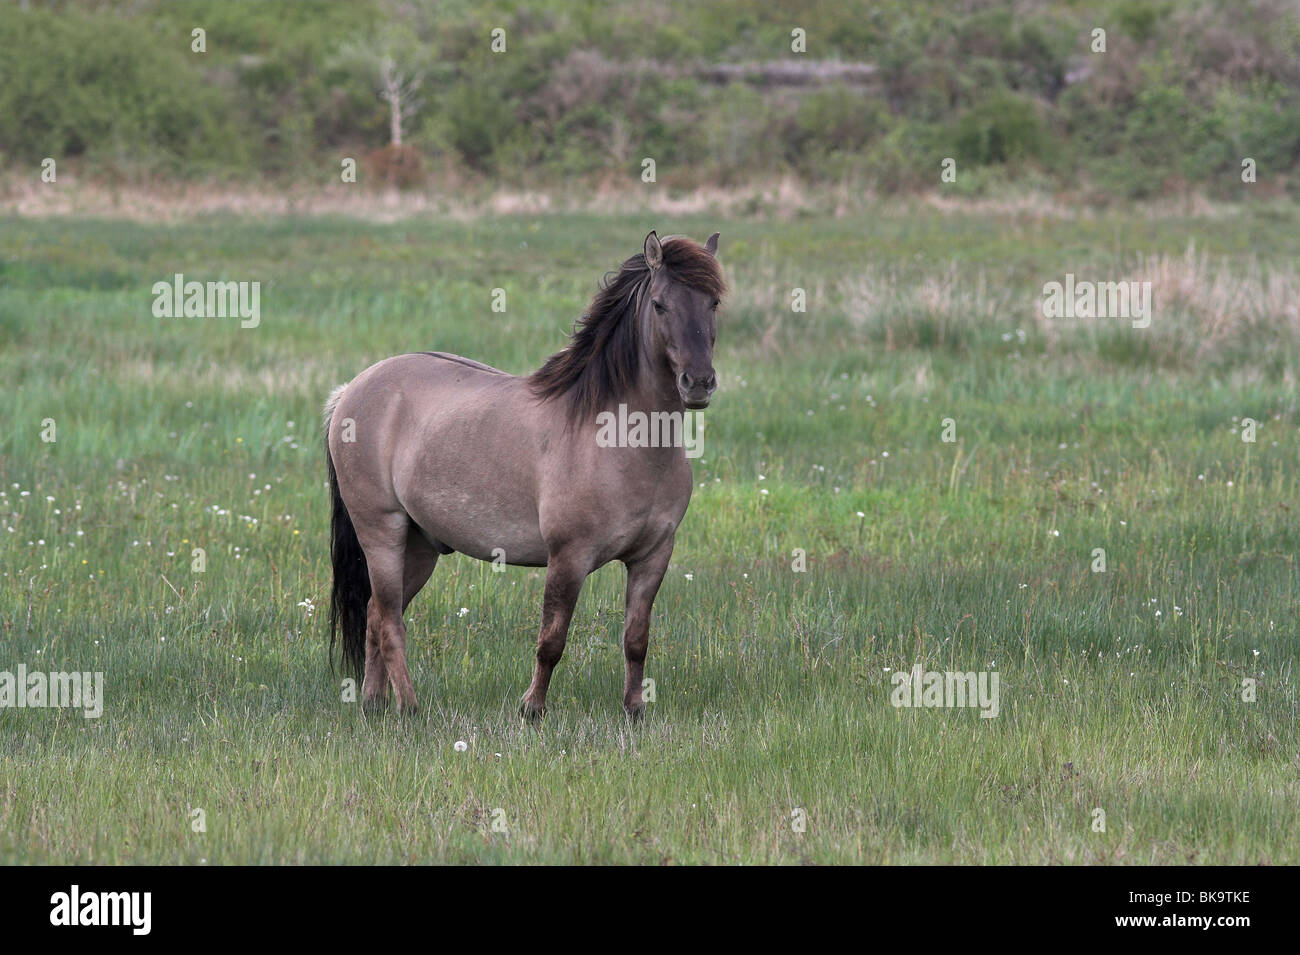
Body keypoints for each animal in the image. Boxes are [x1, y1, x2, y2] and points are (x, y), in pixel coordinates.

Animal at [323, 231, 725, 719]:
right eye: (660, 305)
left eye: (713, 303)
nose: (699, 383)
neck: (620, 440)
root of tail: (351, 389)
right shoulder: (569, 557)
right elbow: (551, 640)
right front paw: (532, 710)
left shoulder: (652, 557)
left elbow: (636, 639)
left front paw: (634, 712)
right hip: (382, 533)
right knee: (389, 622)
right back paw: (411, 707)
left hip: (419, 547)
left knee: (376, 616)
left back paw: (373, 703)